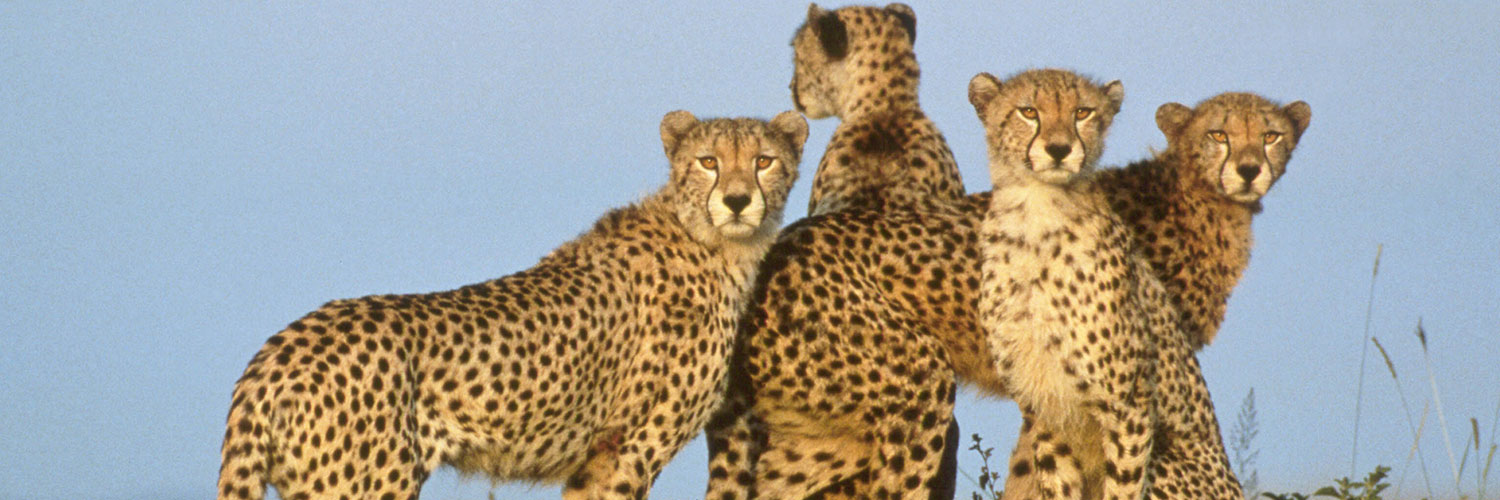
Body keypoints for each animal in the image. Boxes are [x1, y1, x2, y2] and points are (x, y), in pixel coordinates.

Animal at [215, 110, 808, 500]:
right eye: (709, 161)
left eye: (764, 161)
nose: (737, 199)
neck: (715, 243)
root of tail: (277, 351)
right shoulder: (625, 449)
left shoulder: (595, 462)